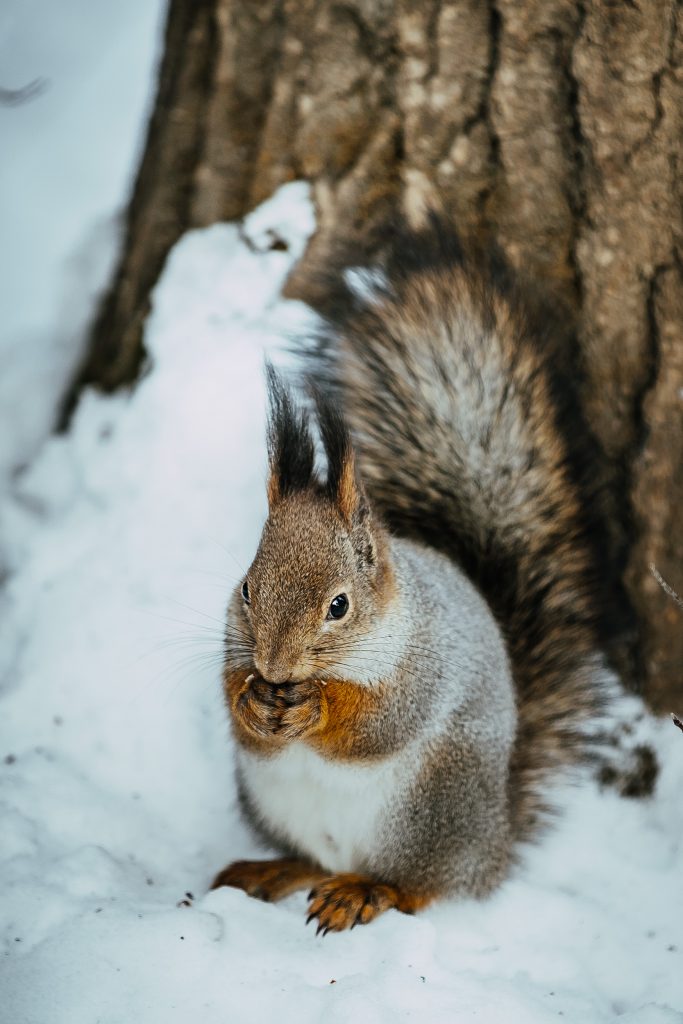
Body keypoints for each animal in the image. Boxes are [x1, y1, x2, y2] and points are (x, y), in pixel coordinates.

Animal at [210, 218, 628, 933]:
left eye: (340, 606)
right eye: (246, 588)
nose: (274, 666)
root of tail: (492, 843)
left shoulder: (429, 664)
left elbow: (381, 723)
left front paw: (317, 707)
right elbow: (233, 705)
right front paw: (251, 701)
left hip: (427, 813)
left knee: (417, 886)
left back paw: (363, 891)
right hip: (275, 804)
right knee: (313, 861)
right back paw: (274, 870)